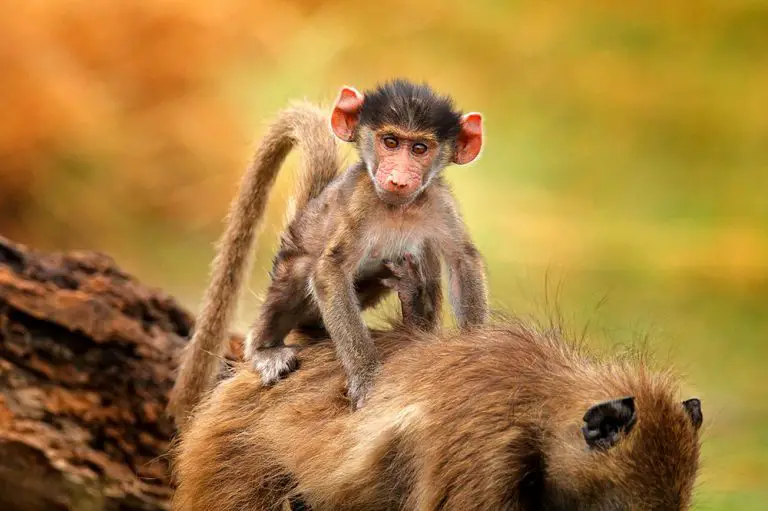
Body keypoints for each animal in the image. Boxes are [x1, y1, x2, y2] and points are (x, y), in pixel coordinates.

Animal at [169, 78, 488, 422]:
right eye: (390, 141)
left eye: (419, 149)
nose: (399, 179)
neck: (397, 209)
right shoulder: (361, 203)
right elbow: (328, 270)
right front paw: (366, 379)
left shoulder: (440, 203)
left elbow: (462, 260)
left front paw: (475, 353)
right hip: (291, 258)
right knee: (301, 273)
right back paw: (264, 349)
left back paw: (414, 312)